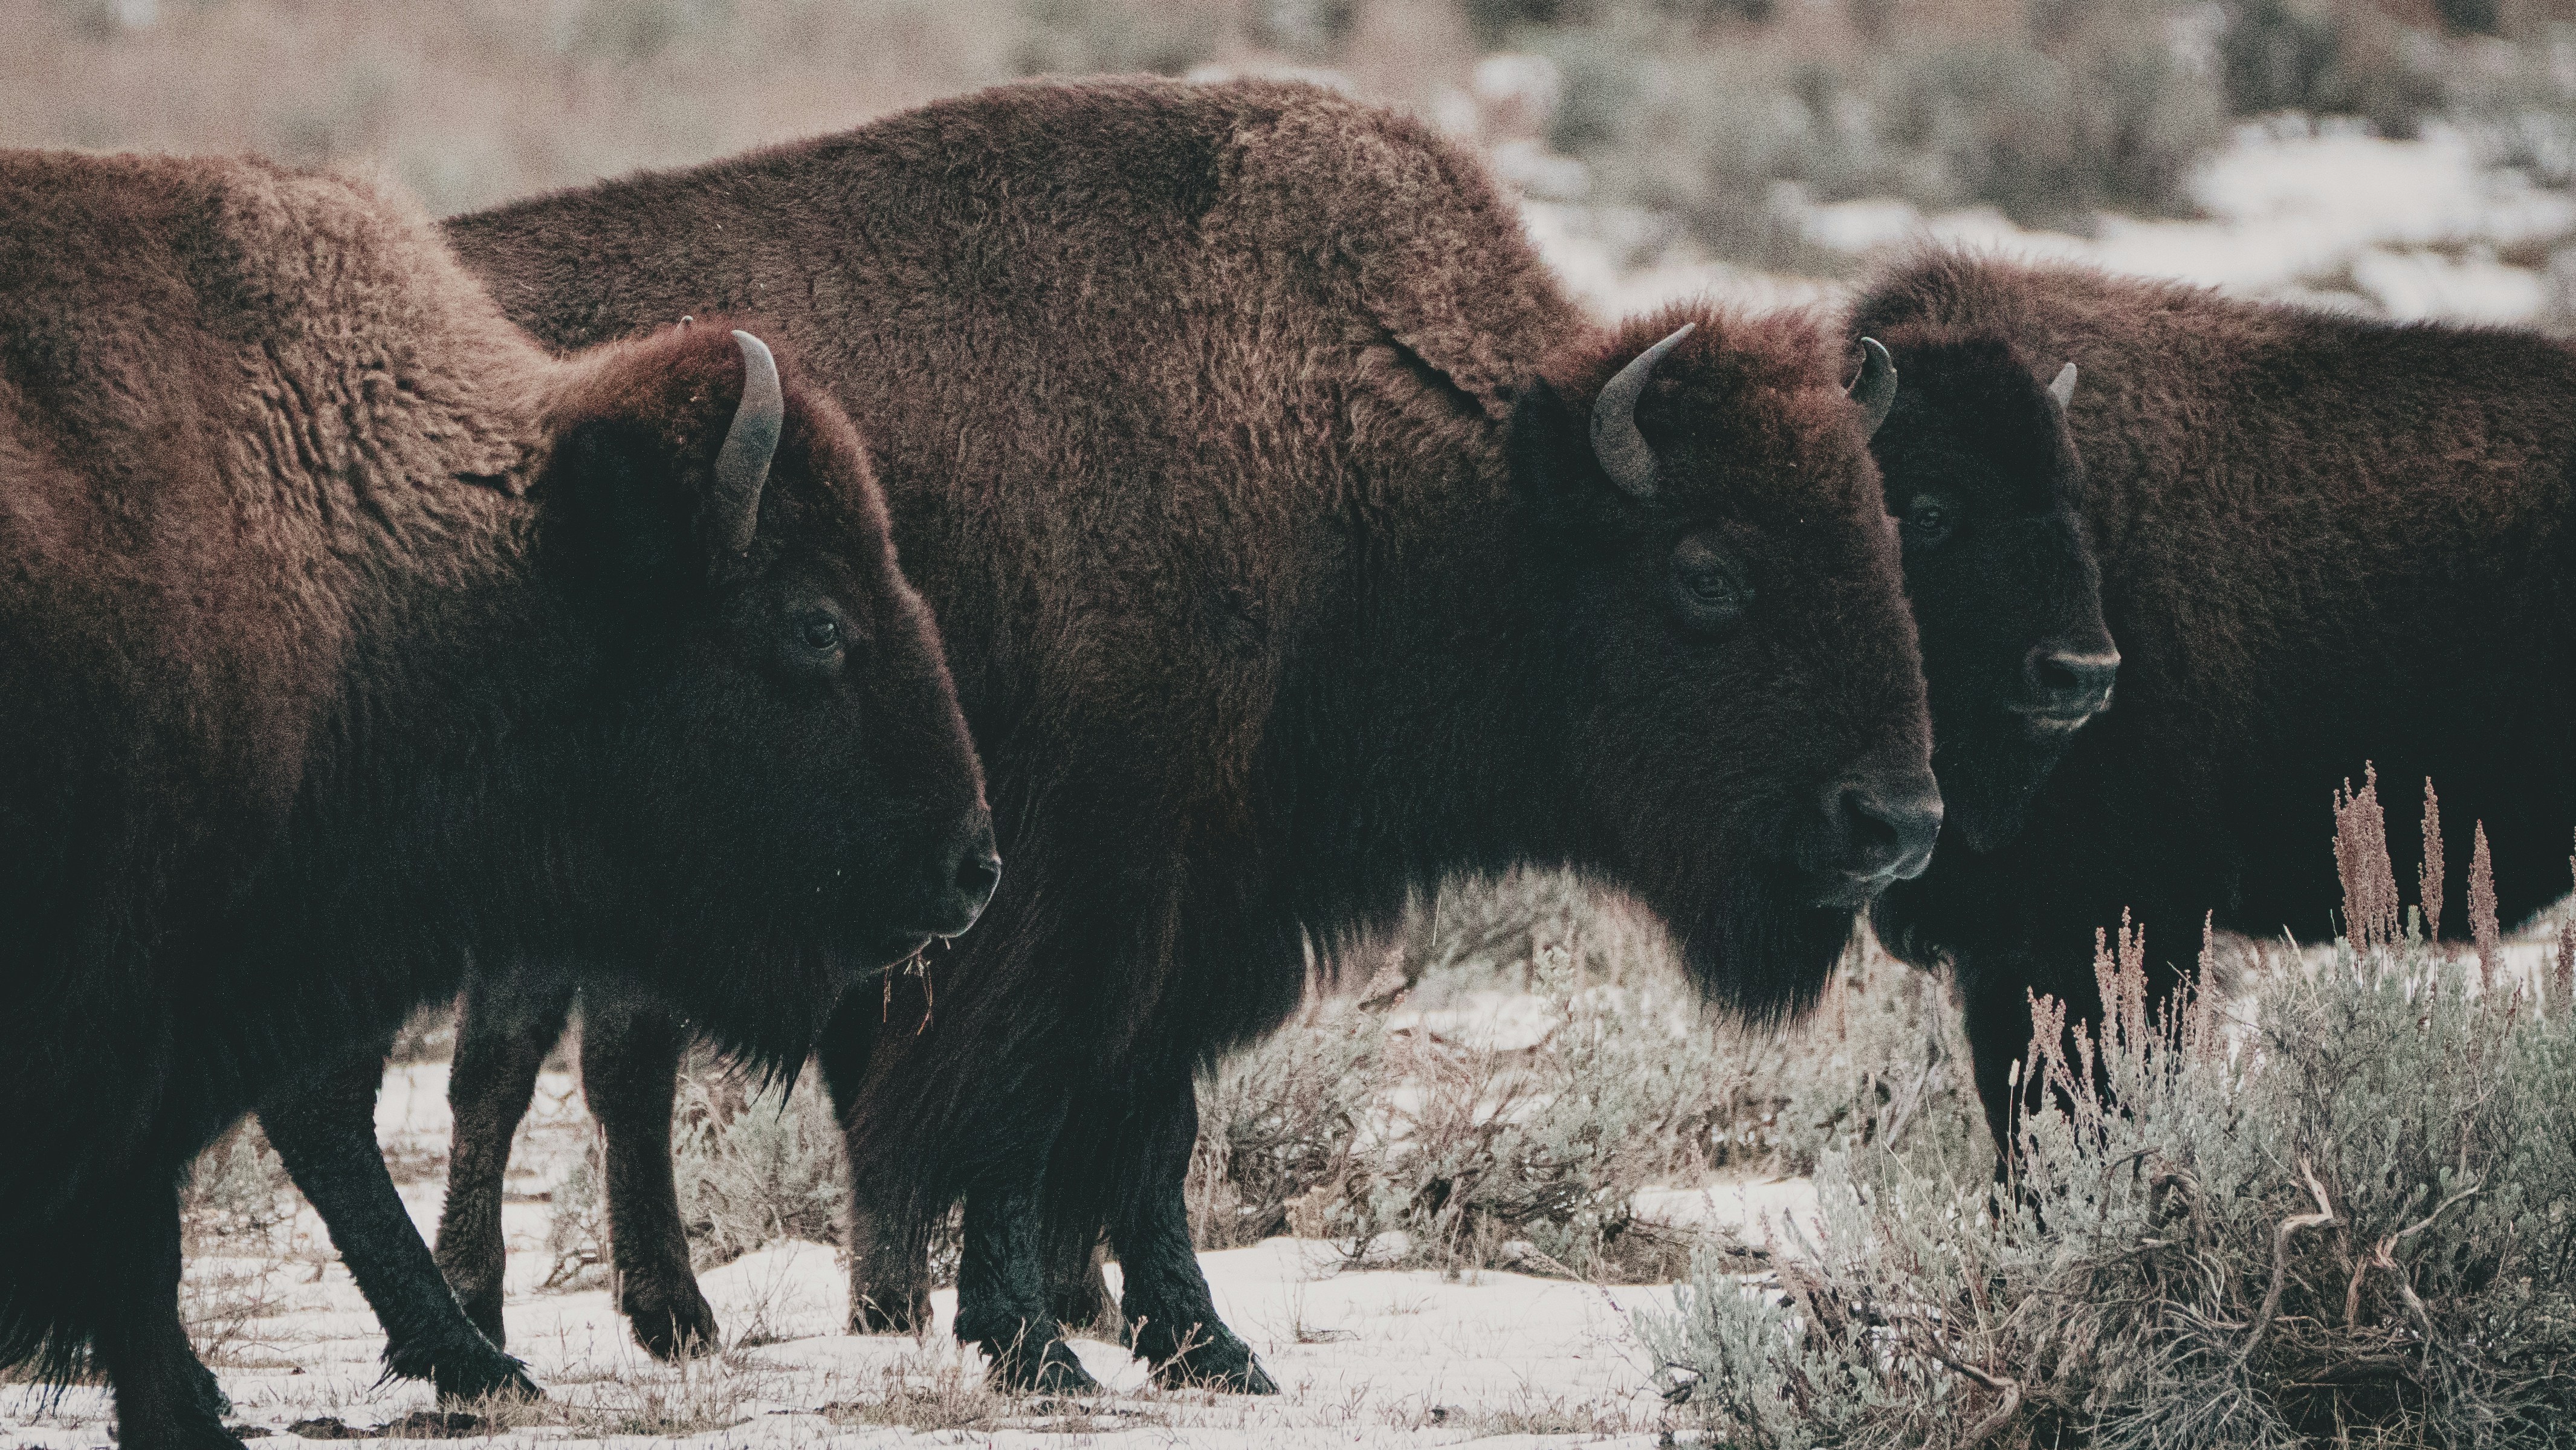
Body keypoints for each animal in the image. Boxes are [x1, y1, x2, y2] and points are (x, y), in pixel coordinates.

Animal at [265, 78, 1940, 1392]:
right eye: (1707, 573)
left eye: (1878, 533)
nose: (1895, 823)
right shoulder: (1079, 886)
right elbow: (1026, 1106)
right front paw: (1033, 1339)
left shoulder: (1213, 899)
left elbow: (1145, 1120)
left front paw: (1202, 1345)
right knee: (426, 1079)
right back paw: (491, 1336)